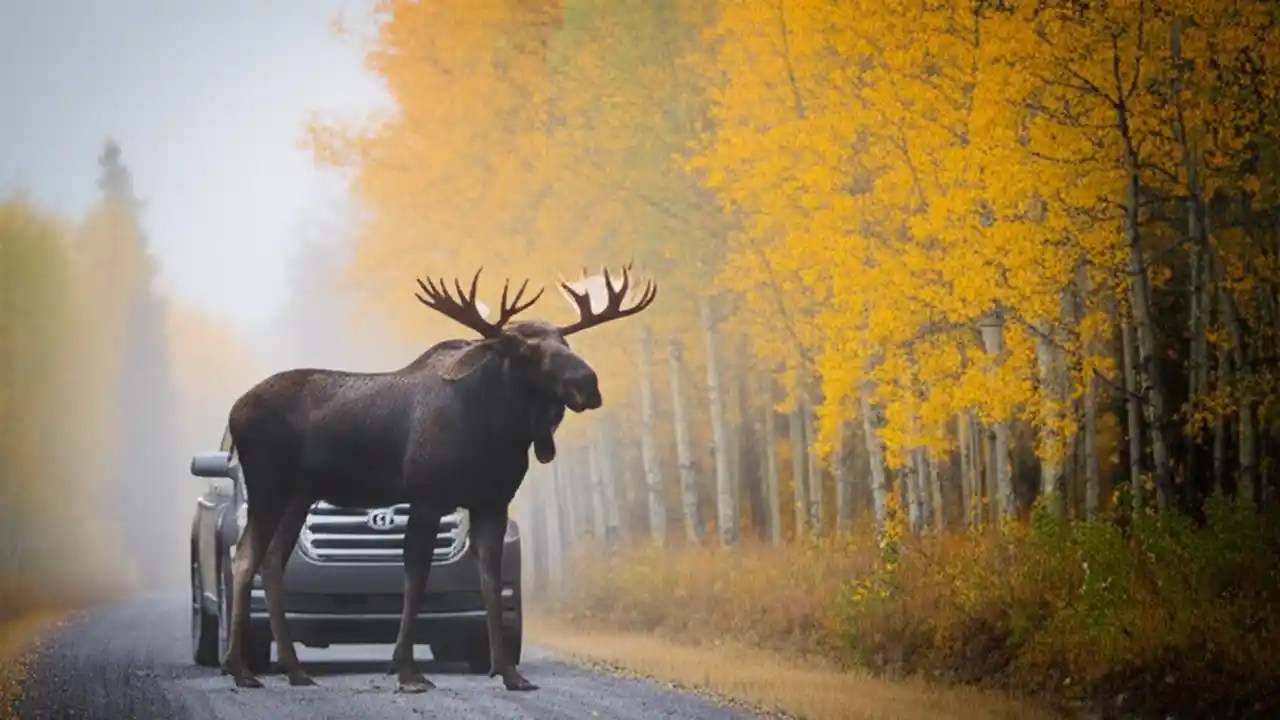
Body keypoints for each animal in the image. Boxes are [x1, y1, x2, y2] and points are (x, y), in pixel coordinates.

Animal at [220, 265, 656, 693]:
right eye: (527, 350)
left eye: (565, 340)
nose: (588, 384)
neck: (498, 433)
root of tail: (233, 410)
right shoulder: (428, 498)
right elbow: (416, 580)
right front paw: (407, 671)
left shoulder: (493, 504)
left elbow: (489, 583)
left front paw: (507, 671)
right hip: (267, 486)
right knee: (244, 558)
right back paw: (239, 669)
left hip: (298, 494)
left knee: (272, 562)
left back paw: (293, 669)